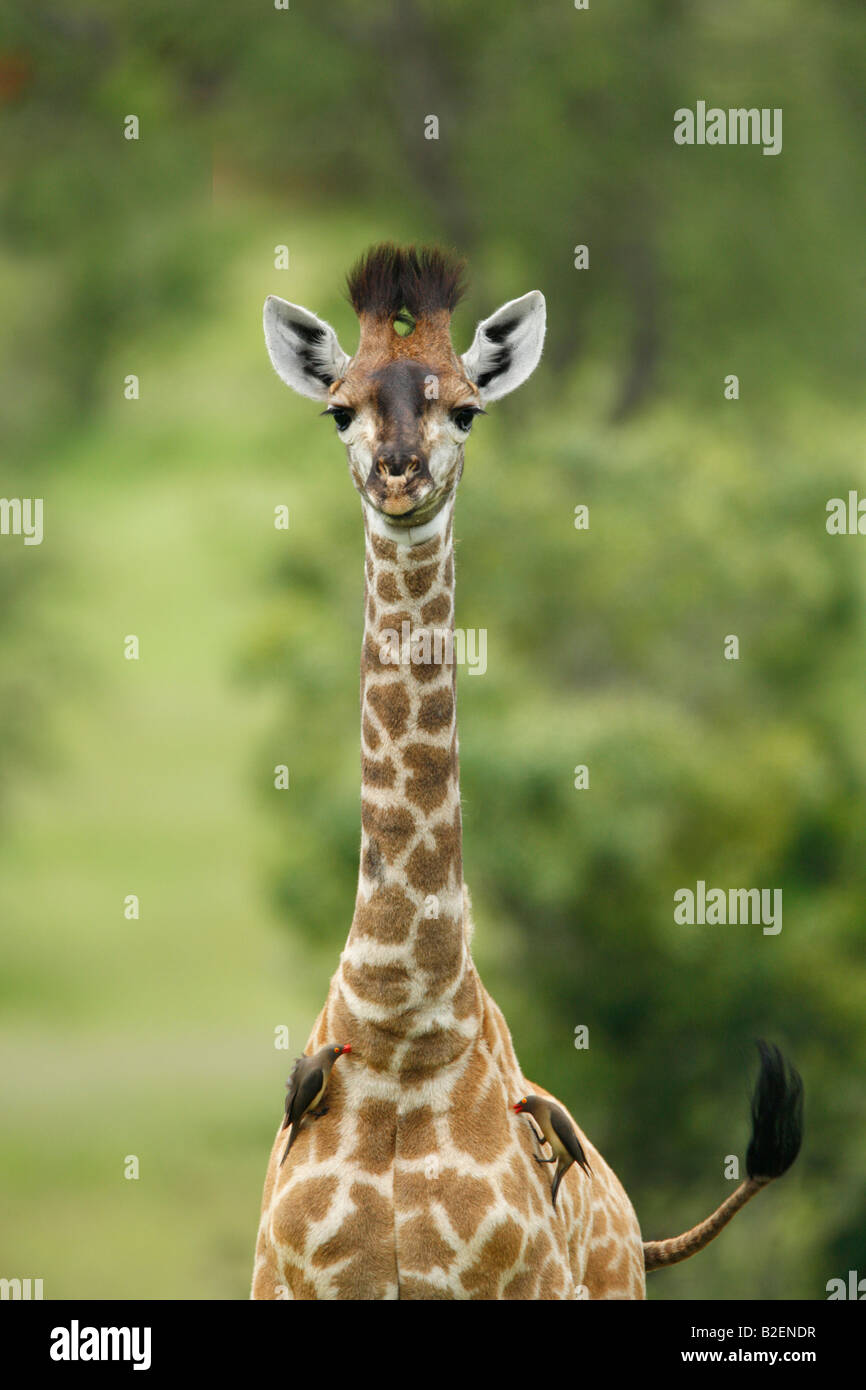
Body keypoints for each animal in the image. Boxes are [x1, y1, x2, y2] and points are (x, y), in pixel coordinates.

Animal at [251, 245, 802, 1300]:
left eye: (467, 408)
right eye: (339, 408)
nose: (399, 475)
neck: (400, 1020)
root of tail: (632, 1226)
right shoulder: (281, 1281)